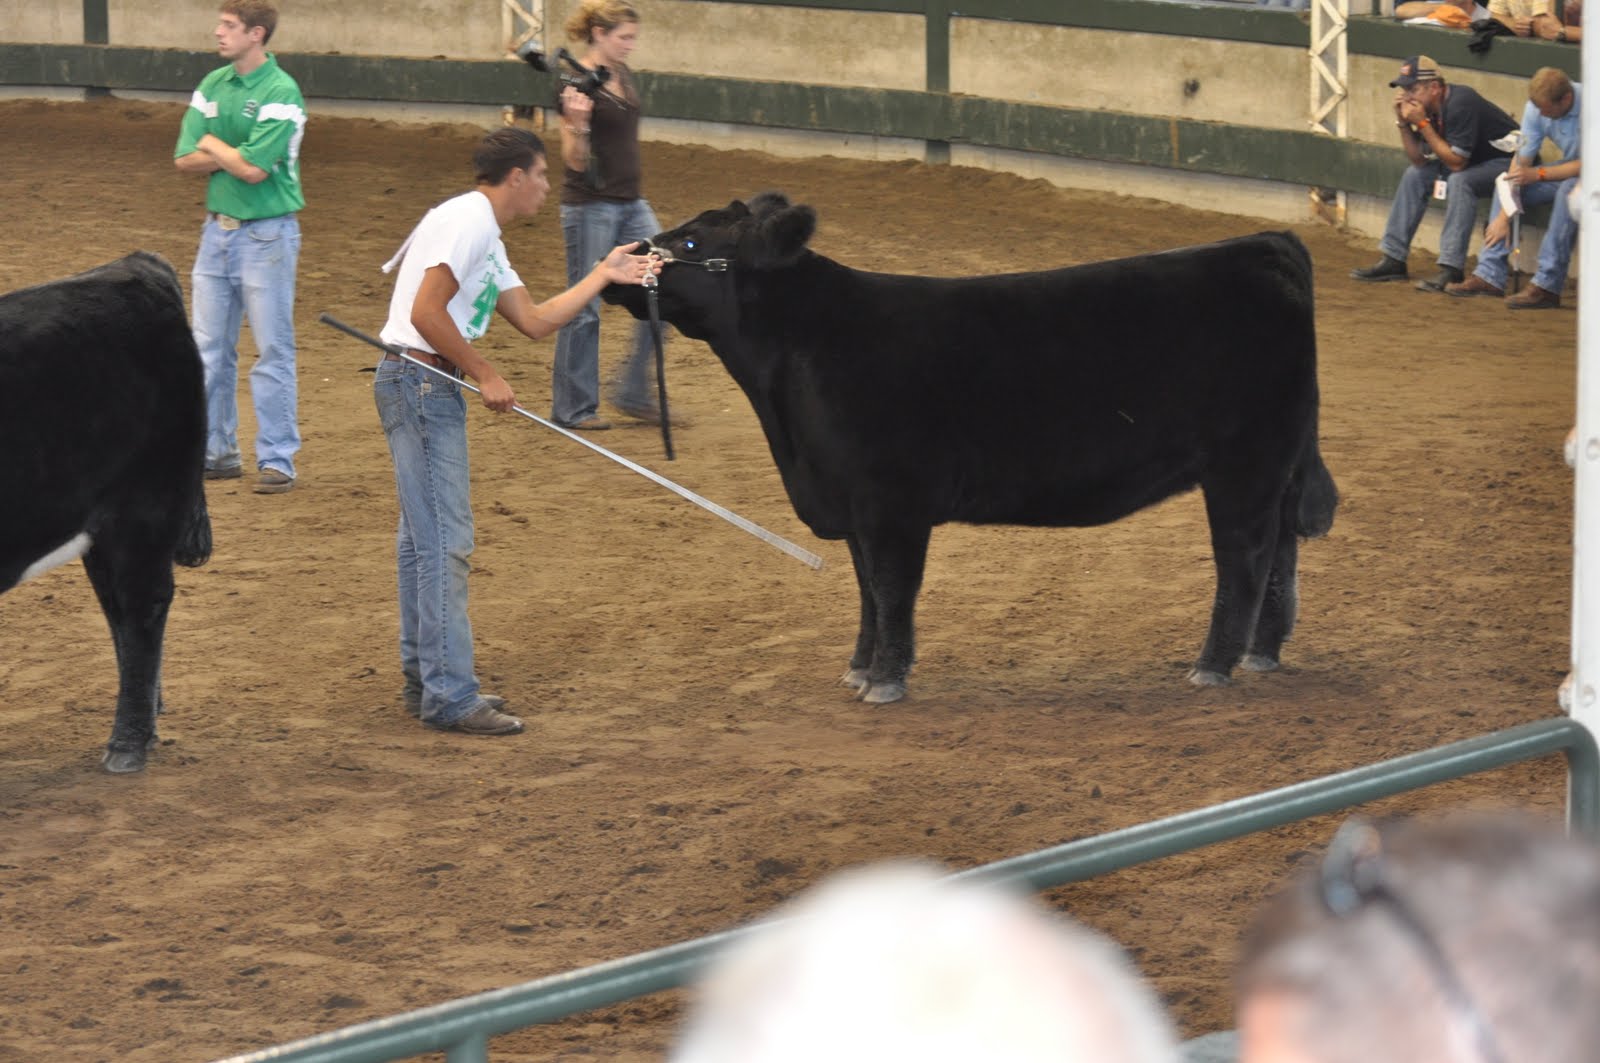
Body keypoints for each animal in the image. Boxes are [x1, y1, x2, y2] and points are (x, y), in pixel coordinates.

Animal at [0, 252, 212, 772]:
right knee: (117, 609)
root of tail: (131, 266)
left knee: (142, 606)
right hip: (99, 526)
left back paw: (128, 742)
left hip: (145, 506)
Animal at [604, 193, 1337, 704]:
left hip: (1244, 466)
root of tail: (1266, 244)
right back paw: (1261, 653)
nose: (617, 264)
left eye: (690, 239)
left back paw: (1212, 665)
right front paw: (860, 667)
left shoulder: (892, 505)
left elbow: (892, 588)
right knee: (1281, 554)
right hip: (1274, 467)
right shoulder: (851, 506)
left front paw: (886, 679)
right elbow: (866, 590)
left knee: (1244, 560)